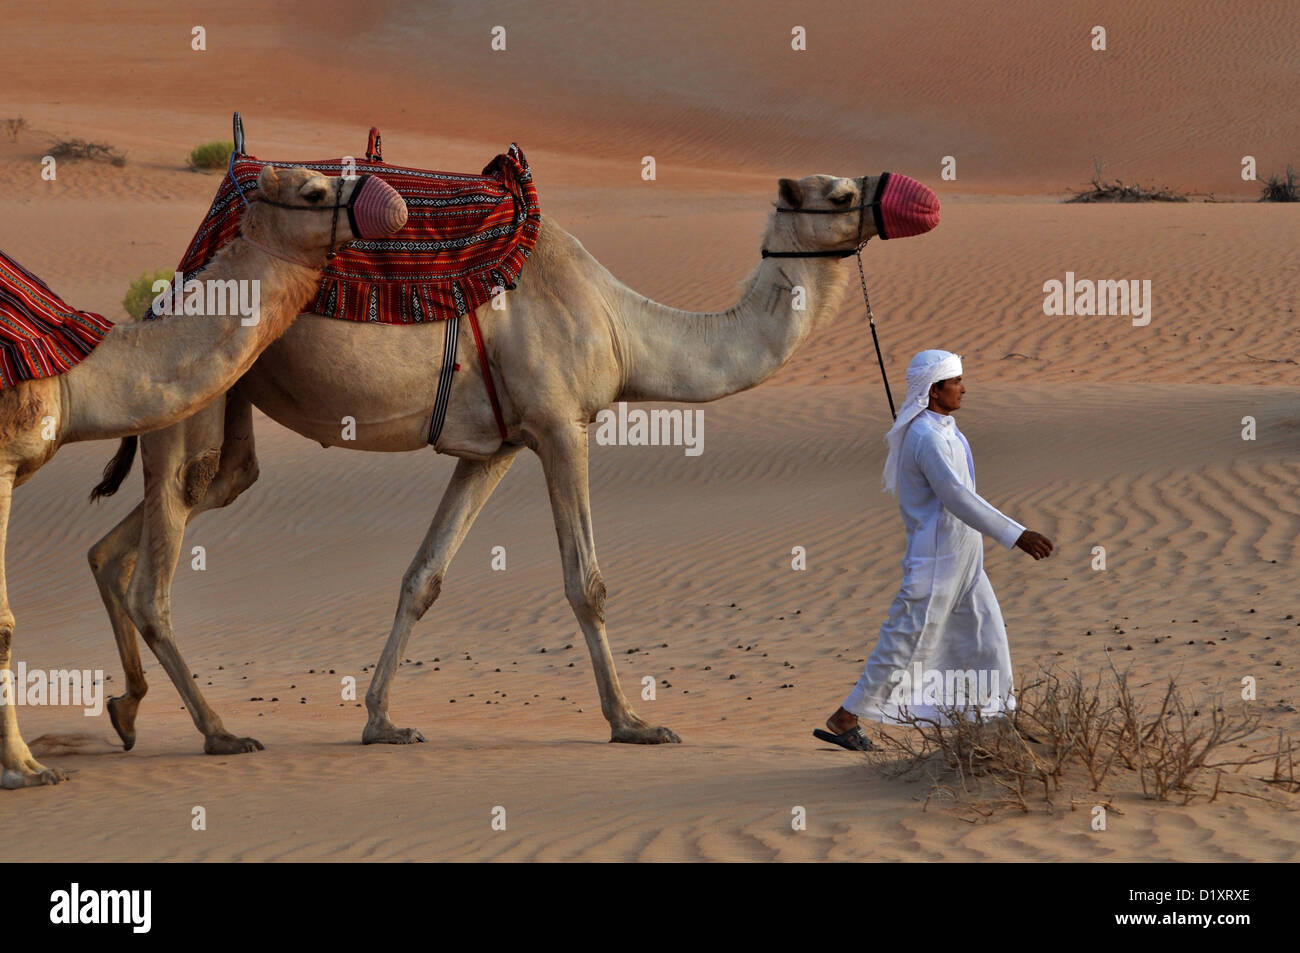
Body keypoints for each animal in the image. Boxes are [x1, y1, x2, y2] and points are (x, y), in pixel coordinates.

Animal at [87, 170, 940, 755]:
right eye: (837, 192)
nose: (909, 196)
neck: (625, 330)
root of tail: (164, 295)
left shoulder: (492, 447)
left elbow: (423, 577)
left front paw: (381, 719)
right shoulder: (563, 426)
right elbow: (586, 583)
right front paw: (632, 721)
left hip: (228, 411)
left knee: (144, 527)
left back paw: (126, 708)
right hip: (193, 401)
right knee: (155, 579)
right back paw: (219, 732)